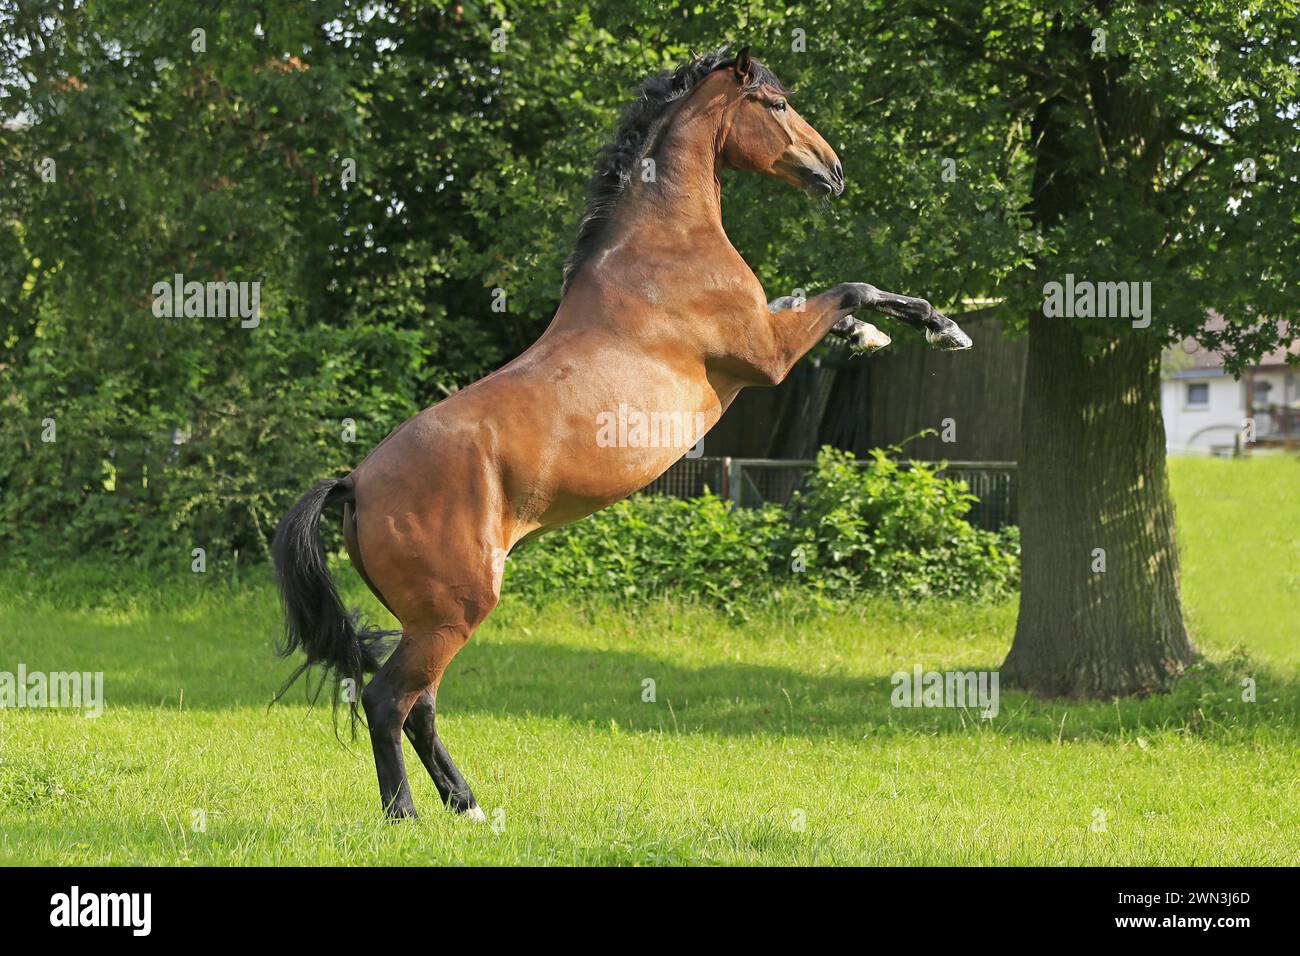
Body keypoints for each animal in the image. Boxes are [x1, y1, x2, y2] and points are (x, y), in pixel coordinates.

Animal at [272, 47, 972, 821]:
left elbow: (826, 299)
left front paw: (875, 335)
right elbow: (850, 288)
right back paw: (407, 815)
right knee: (387, 700)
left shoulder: (771, 335)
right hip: (454, 612)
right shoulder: (767, 355)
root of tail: (355, 483)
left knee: (420, 706)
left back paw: (472, 809)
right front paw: (941, 326)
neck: (665, 244)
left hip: (432, 619)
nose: (834, 170)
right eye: (779, 103)